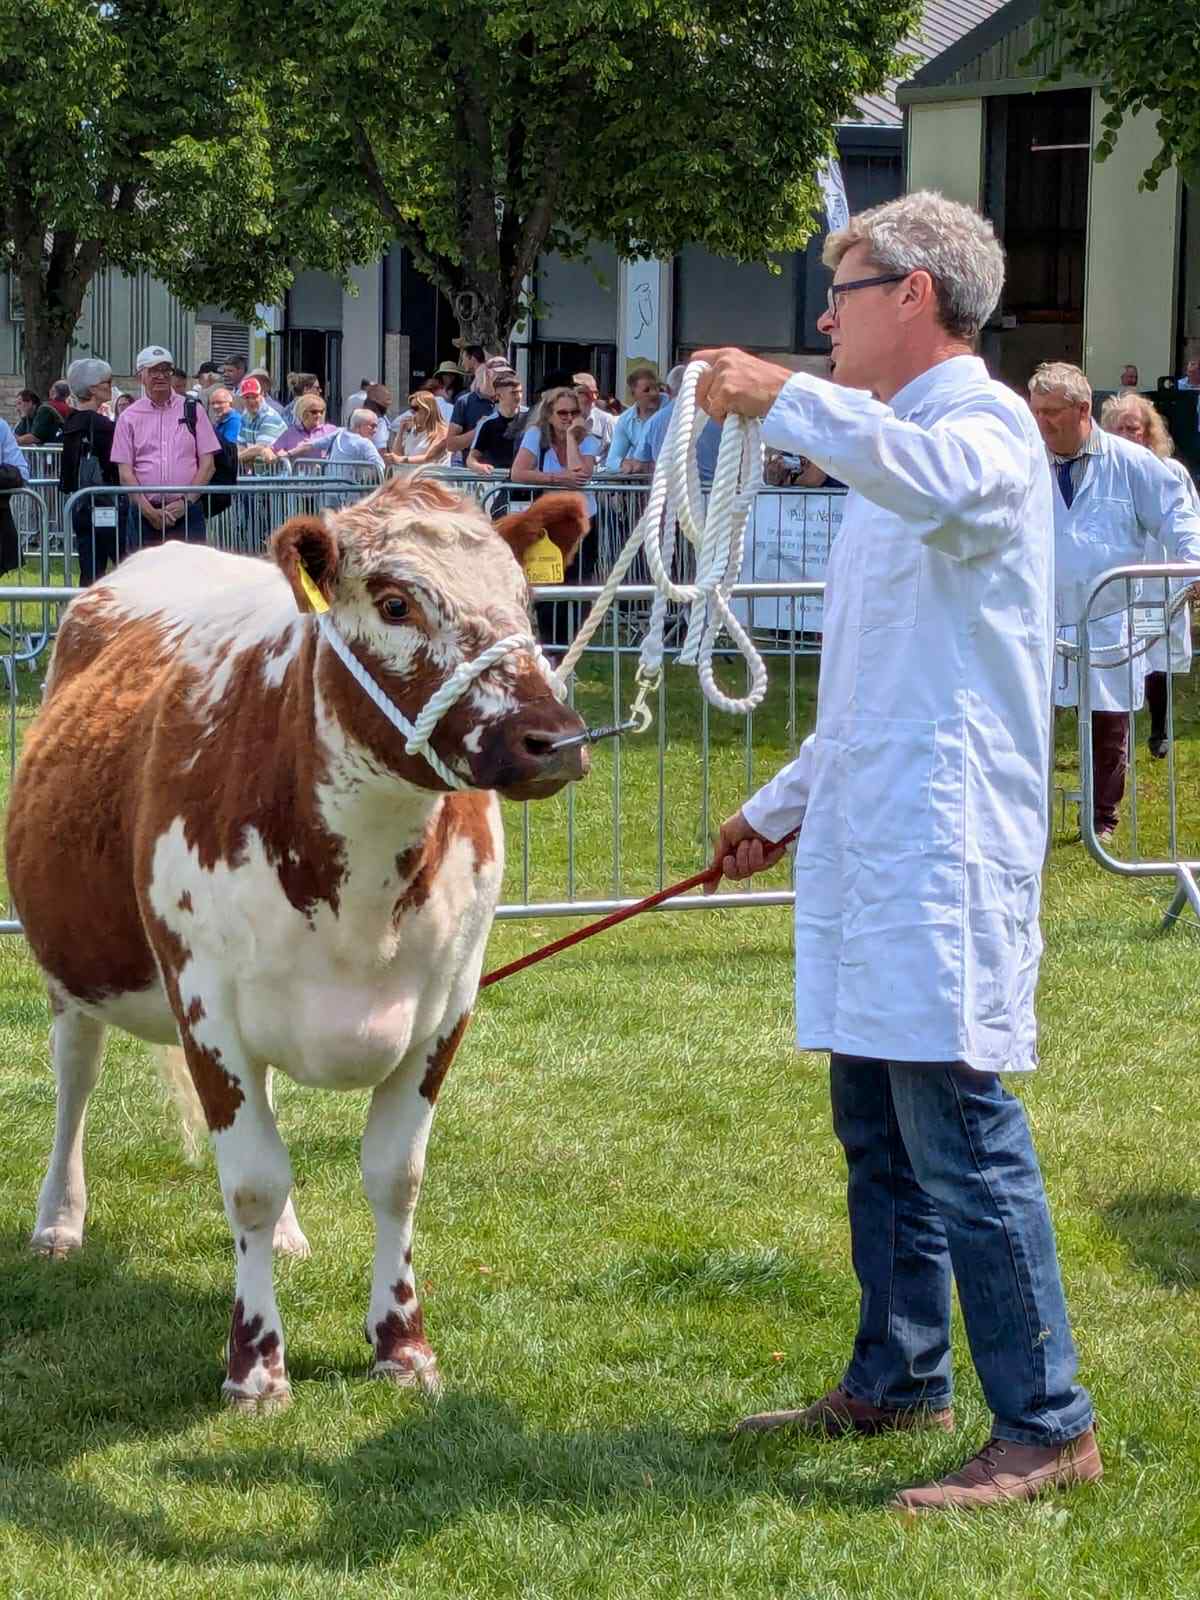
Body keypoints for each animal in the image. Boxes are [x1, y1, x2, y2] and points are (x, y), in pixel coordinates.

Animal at [6, 476, 591, 1412]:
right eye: (395, 603)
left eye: (525, 598)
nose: (556, 739)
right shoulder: (206, 1005)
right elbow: (249, 1178)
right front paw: (256, 1366)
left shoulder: (446, 1005)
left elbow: (395, 1174)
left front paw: (403, 1346)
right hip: (69, 966)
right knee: (76, 1080)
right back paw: (58, 1220)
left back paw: (284, 1237)